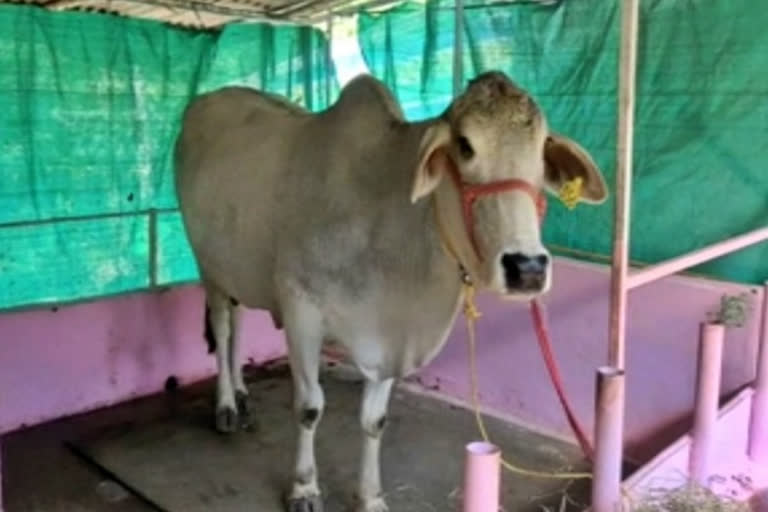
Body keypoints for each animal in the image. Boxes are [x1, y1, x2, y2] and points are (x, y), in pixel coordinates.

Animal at [173, 71, 607, 512]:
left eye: (541, 149)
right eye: (465, 145)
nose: (527, 268)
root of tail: (206, 100)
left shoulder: (389, 336)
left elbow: (374, 421)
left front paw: (370, 496)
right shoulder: (301, 311)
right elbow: (310, 407)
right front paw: (305, 488)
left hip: (238, 268)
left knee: (240, 319)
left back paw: (242, 393)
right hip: (207, 264)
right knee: (223, 325)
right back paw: (227, 405)